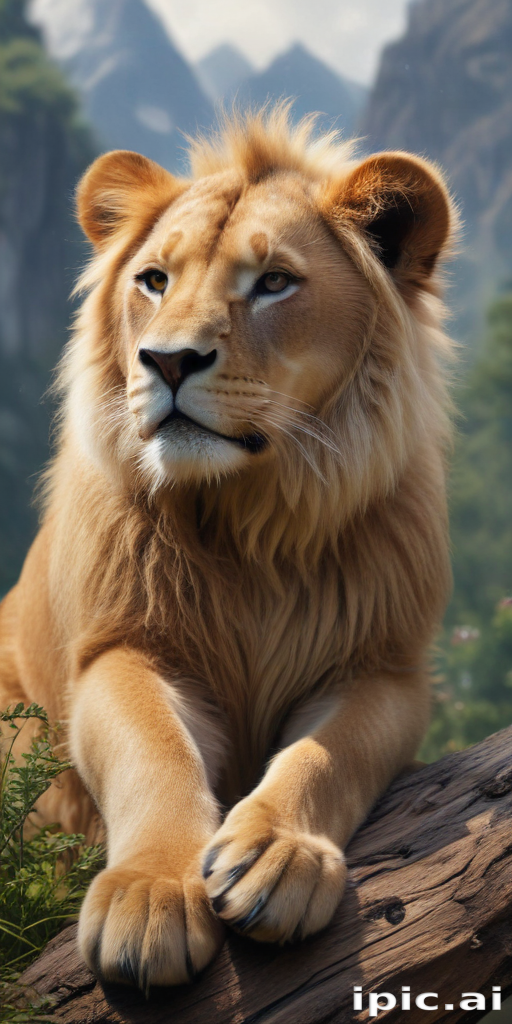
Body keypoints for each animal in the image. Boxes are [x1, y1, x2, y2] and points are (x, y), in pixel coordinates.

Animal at [0, 108, 455, 989]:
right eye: (153, 281)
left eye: (273, 282)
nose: (168, 360)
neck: (251, 517)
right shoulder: (120, 649)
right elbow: (155, 752)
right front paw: (147, 896)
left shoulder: (384, 669)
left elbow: (328, 753)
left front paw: (278, 855)